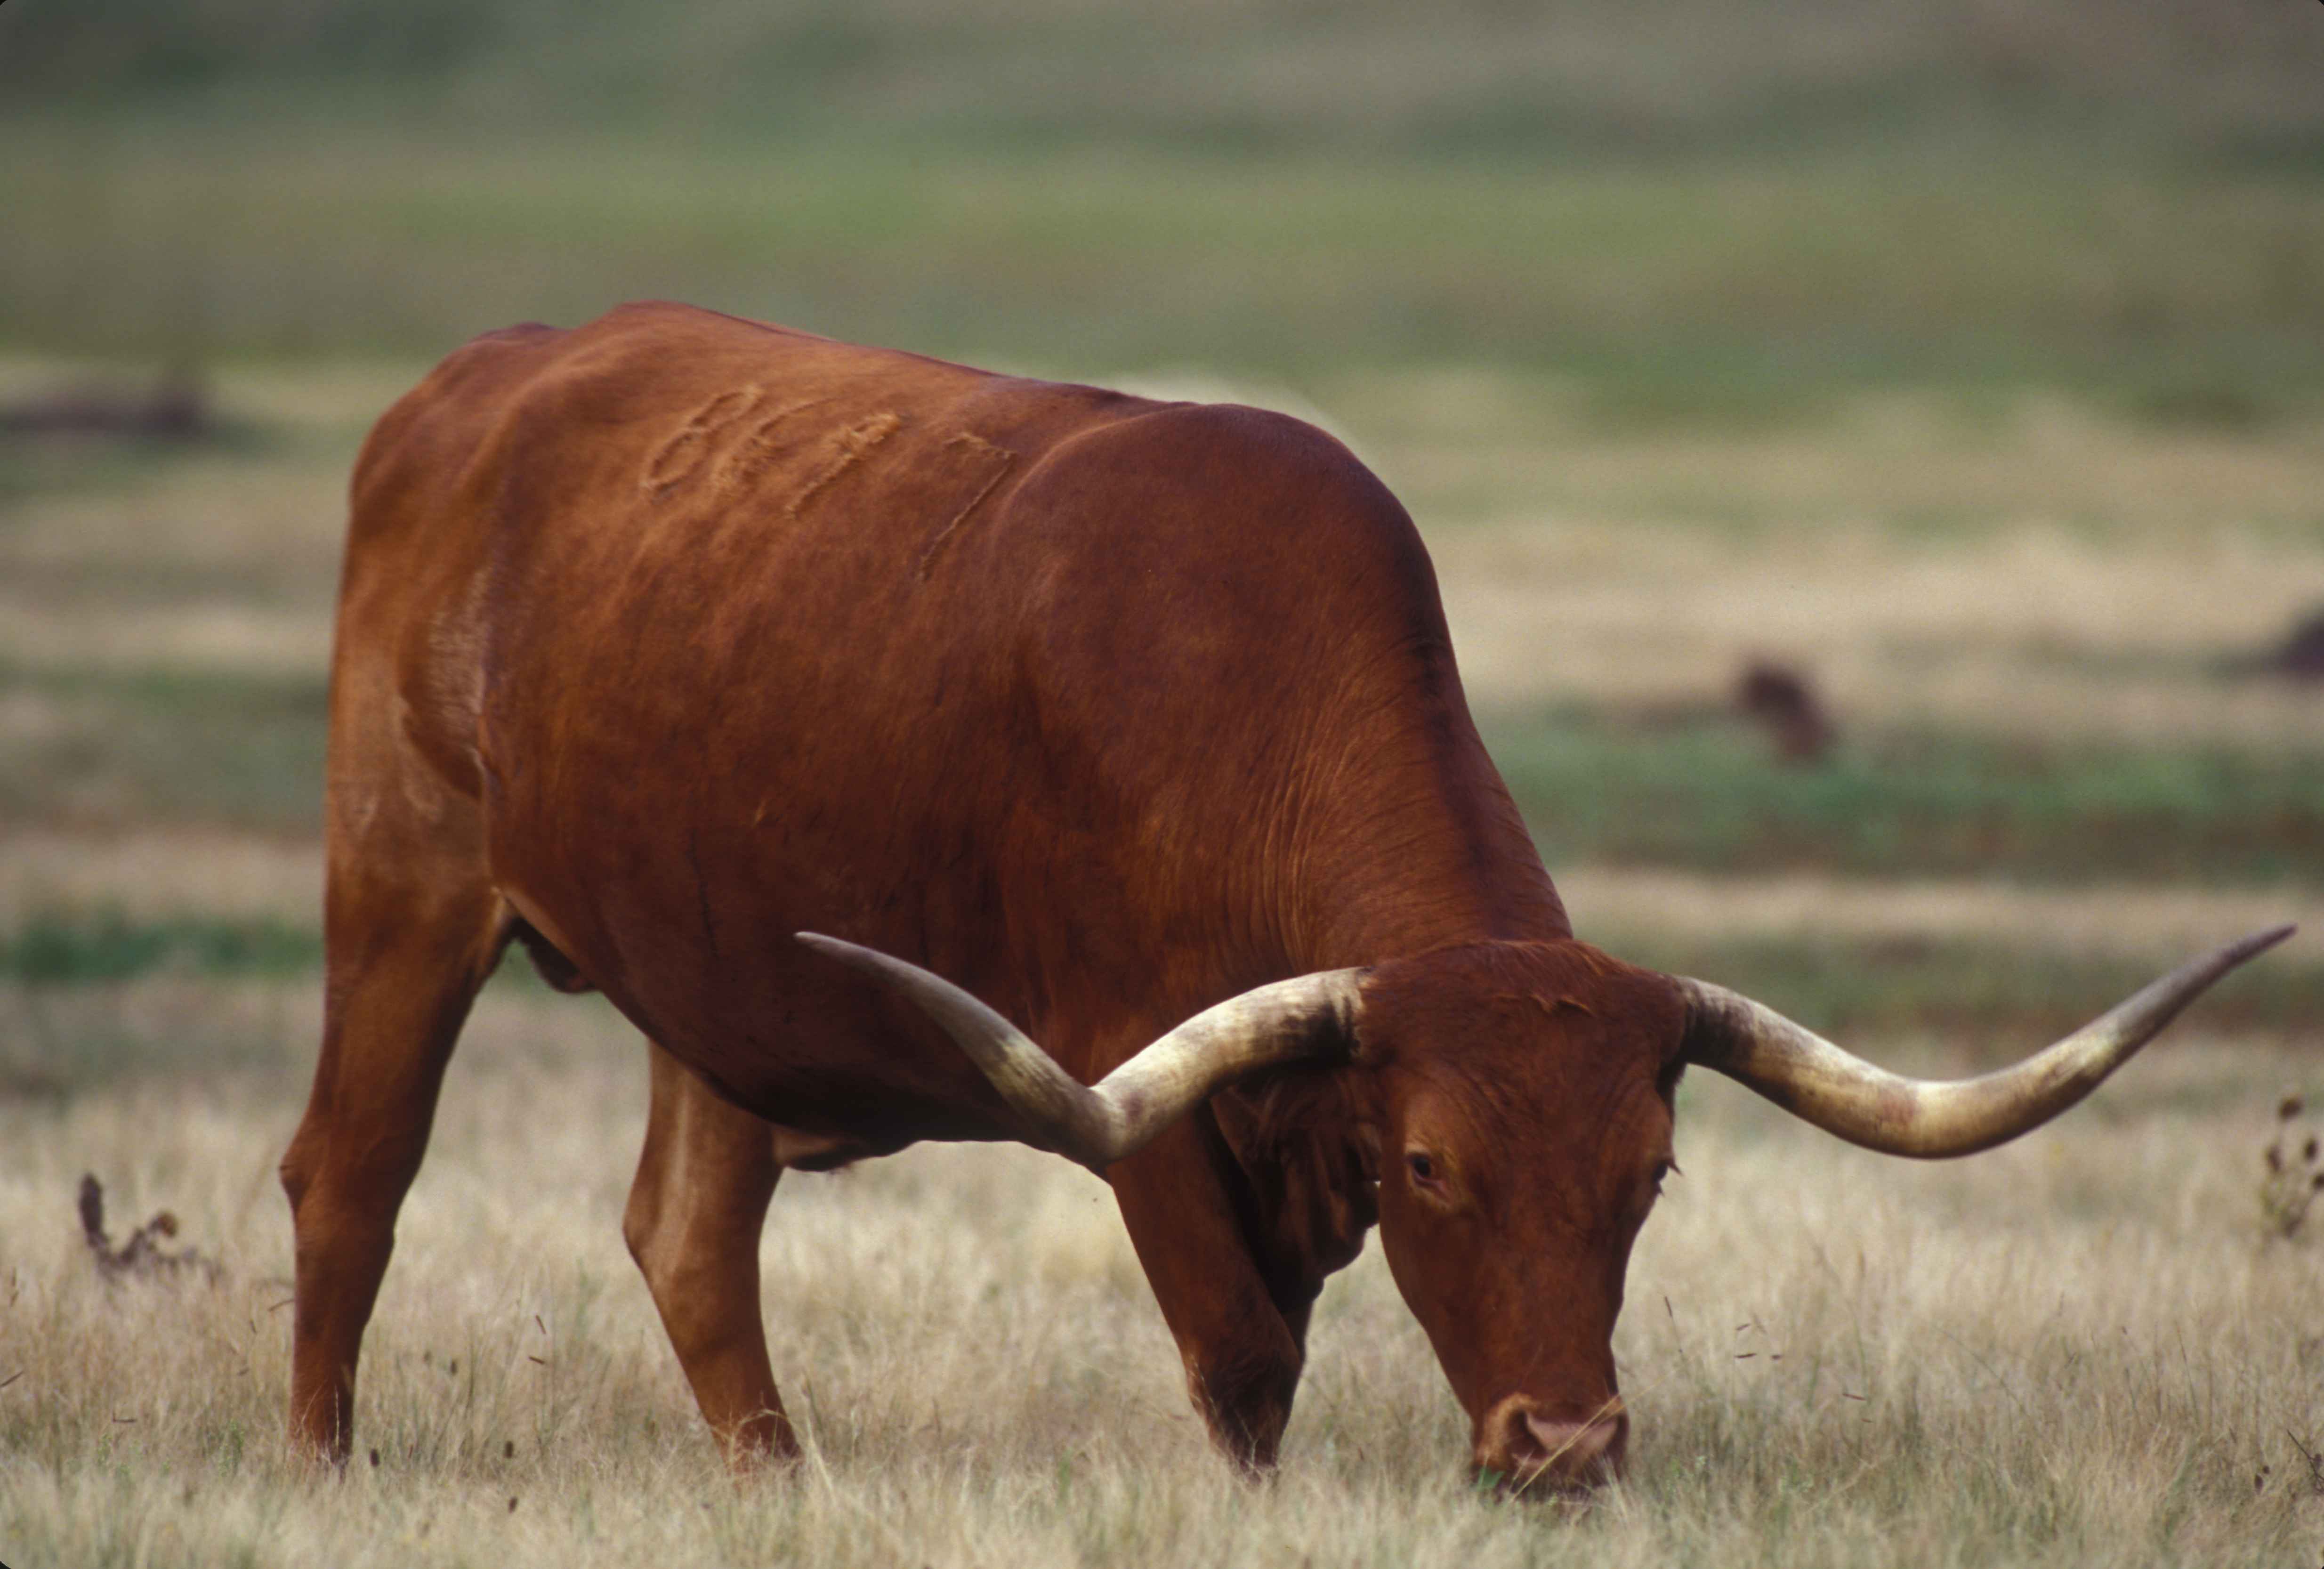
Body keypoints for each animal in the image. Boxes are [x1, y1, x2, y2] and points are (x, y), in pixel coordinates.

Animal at [282, 301, 2288, 1492]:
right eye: (1430, 1164)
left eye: (1647, 1172)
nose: (1563, 1441)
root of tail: (479, 376)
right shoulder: (1134, 1081)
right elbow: (1241, 1360)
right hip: (403, 885)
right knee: (351, 1180)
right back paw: (320, 1467)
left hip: (706, 972)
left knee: (692, 1237)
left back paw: (785, 1485)